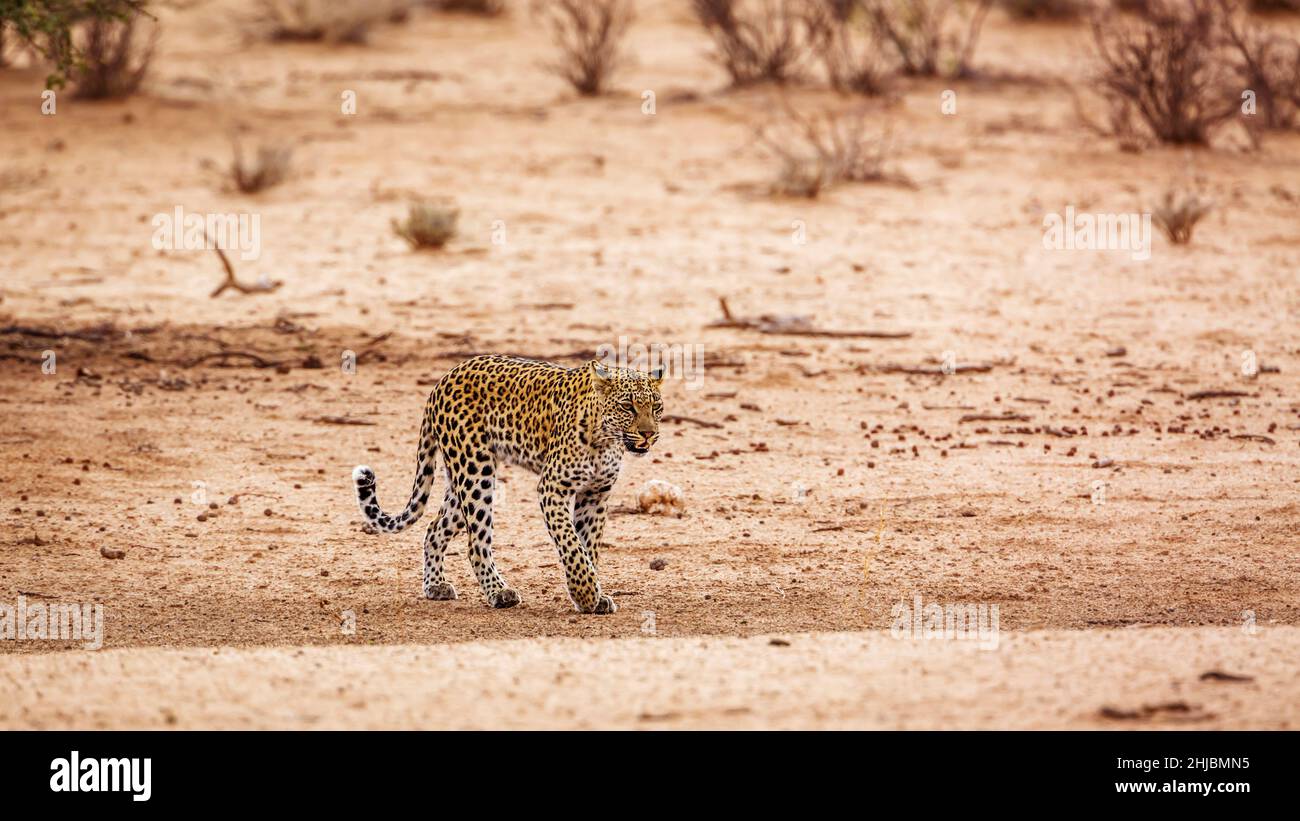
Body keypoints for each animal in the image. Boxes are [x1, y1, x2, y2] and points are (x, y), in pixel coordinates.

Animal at [352, 355, 664, 614]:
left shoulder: (596, 493)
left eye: (657, 407)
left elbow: (588, 546)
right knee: (475, 543)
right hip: (476, 472)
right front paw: (586, 594)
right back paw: (499, 592)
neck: (605, 439)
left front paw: (591, 595)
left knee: (434, 528)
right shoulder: (552, 488)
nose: (648, 434)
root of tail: (442, 380)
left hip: (460, 480)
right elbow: (572, 544)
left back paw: (435, 586)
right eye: (627, 406)